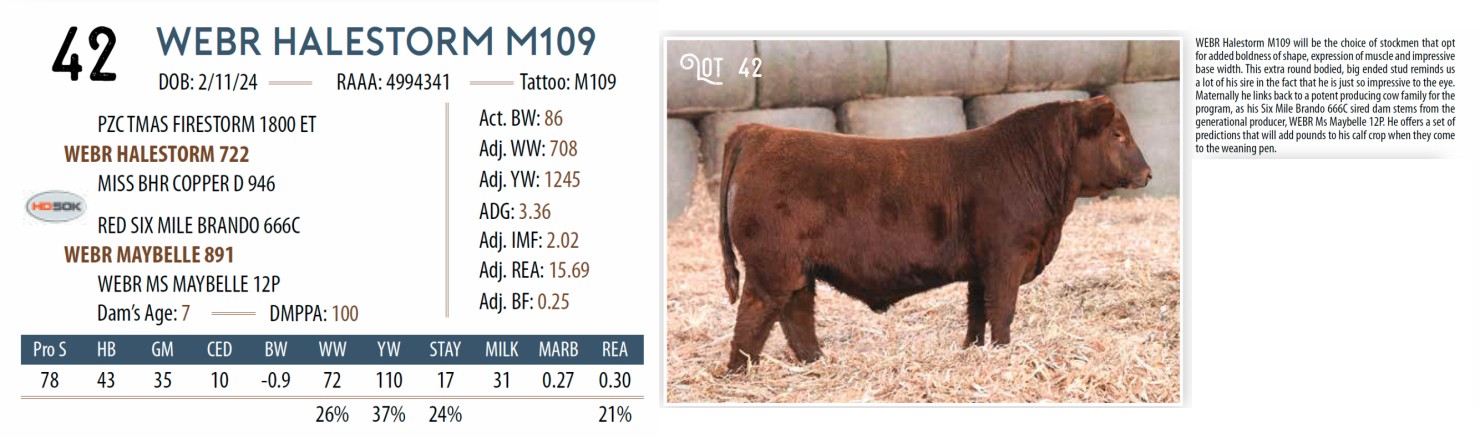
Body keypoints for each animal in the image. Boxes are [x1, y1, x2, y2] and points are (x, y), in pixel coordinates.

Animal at [717, 96, 1152, 373]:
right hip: (771, 266)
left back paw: (815, 363)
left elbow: (977, 311)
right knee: (754, 314)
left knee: (796, 314)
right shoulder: (1005, 258)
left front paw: (974, 351)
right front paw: (1004, 354)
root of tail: (758, 130)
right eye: (1117, 135)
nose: (1148, 174)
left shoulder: (981, 268)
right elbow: (1003, 311)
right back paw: (740, 372)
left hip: (798, 269)